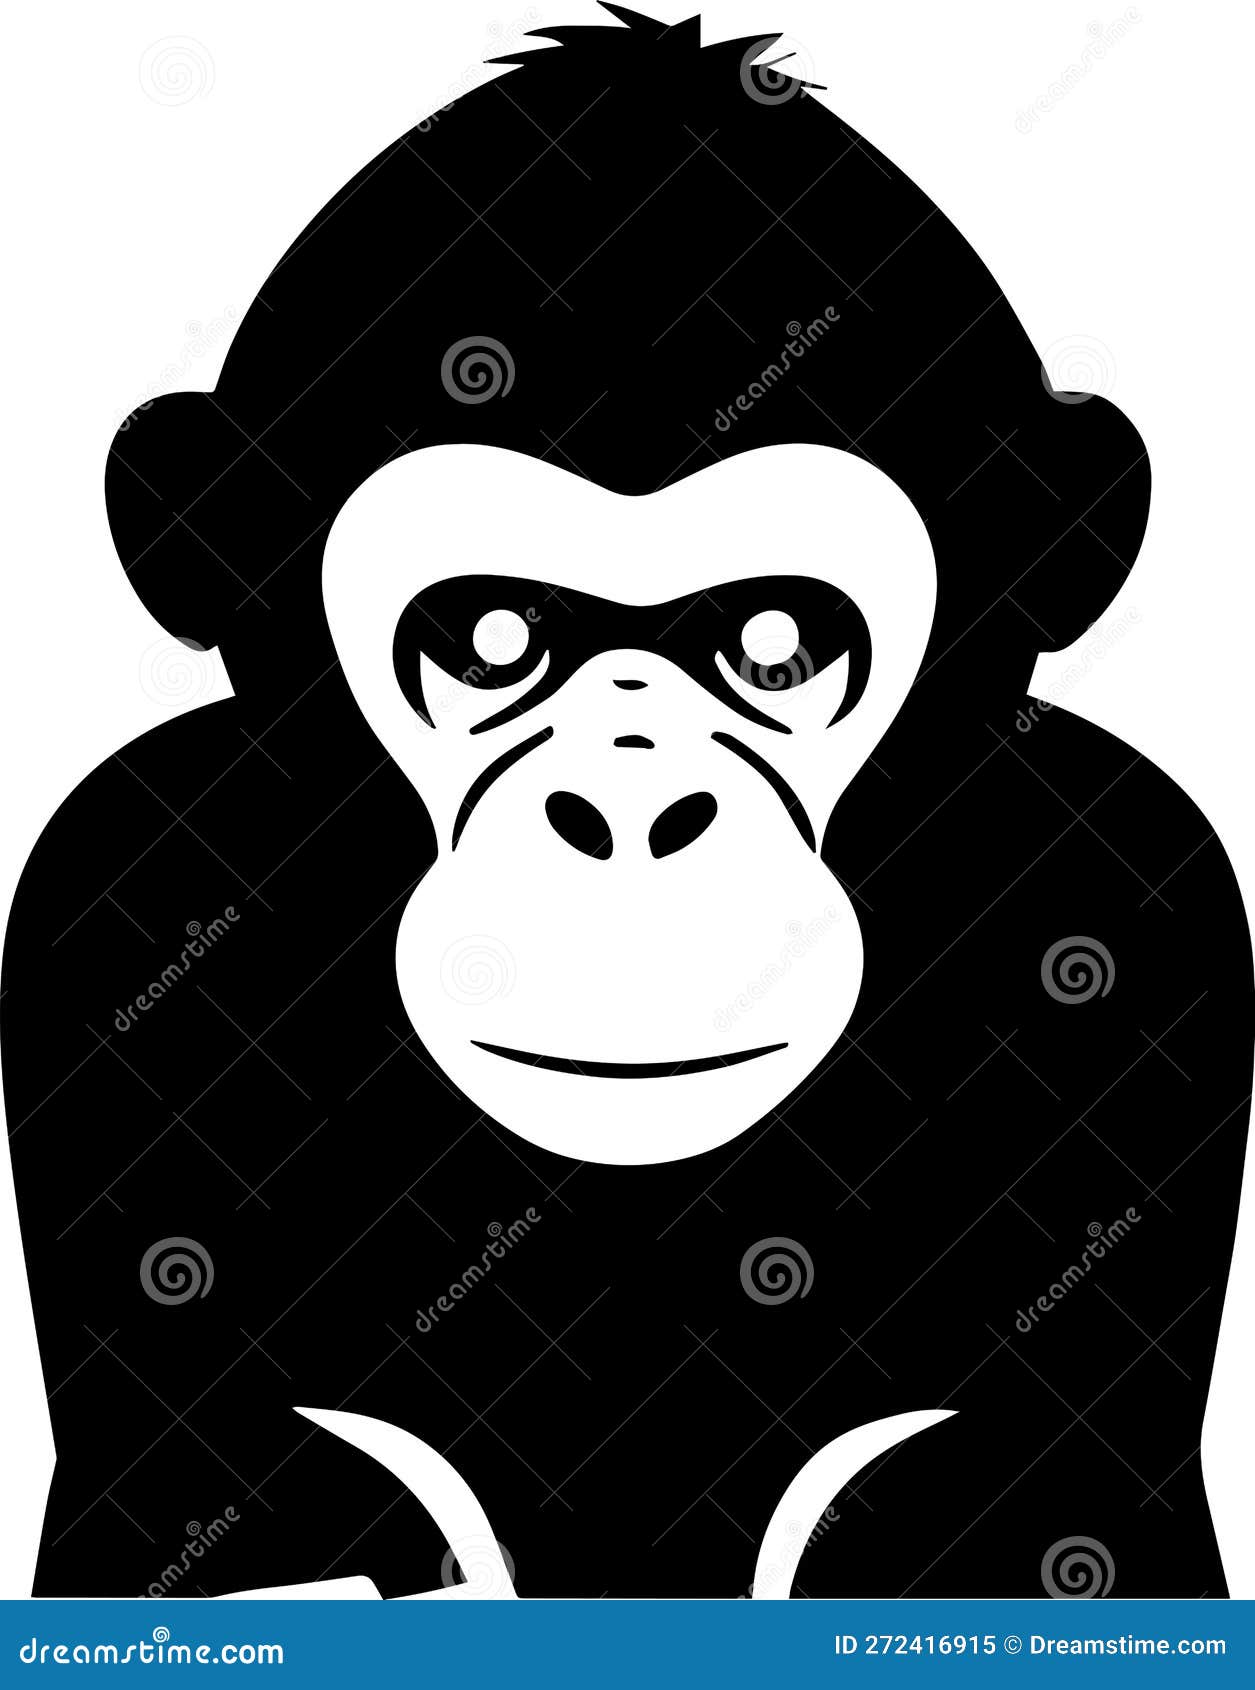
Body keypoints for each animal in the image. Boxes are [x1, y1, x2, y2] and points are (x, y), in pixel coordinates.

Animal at [3, 6, 1249, 1599]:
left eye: (775, 640)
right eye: (491, 639)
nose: (630, 812)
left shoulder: (1145, 906)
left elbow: (1058, 1483)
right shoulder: (109, 897)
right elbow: (190, 1470)